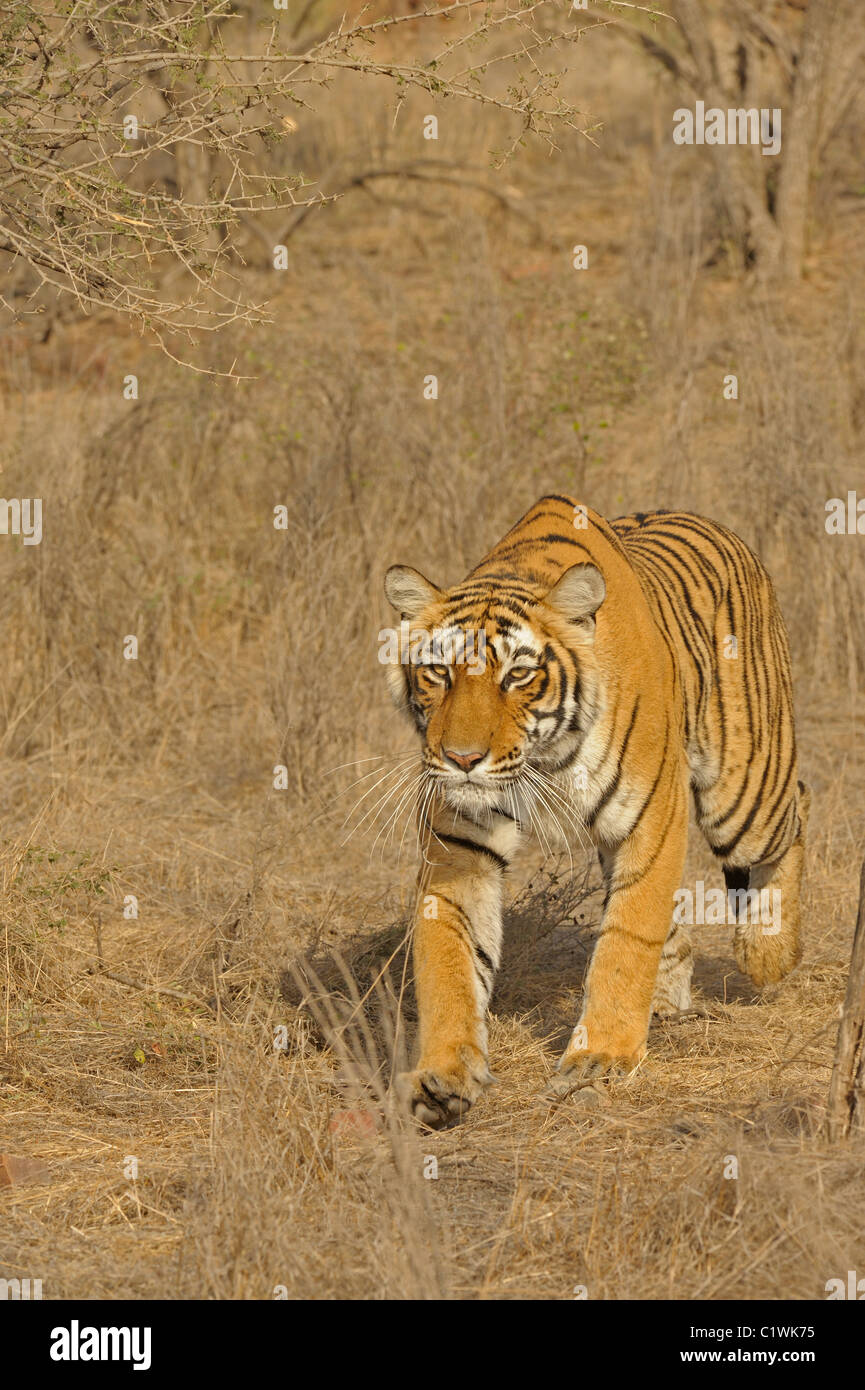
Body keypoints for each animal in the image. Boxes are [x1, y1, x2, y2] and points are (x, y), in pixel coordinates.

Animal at [382, 495, 809, 1128]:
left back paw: (769, 954)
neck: (544, 755)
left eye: (518, 675)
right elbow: (450, 961)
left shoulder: (652, 816)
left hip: (745, 794)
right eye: (439, 672)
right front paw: (443, 1076)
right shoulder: (460, 846)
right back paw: (666, 1002)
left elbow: (626, 940)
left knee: (796, 807)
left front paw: (600, 1060)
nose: (462, 759)